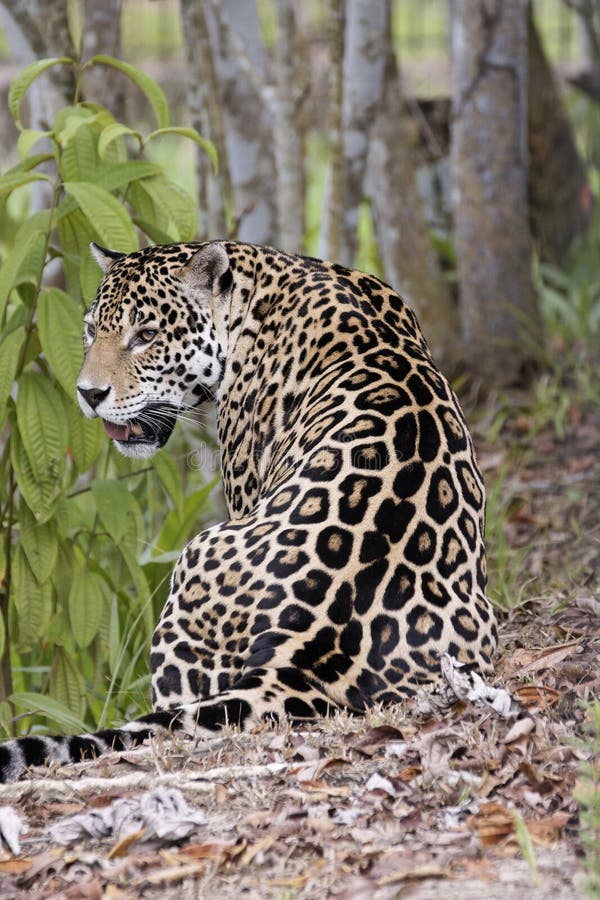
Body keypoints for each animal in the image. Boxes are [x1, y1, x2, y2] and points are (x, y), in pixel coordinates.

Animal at [0, 241, 497, 782]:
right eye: (92, 330)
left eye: (146, 335)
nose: (89, 394)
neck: (253, 295)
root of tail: (302, 655)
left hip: (195, 555)